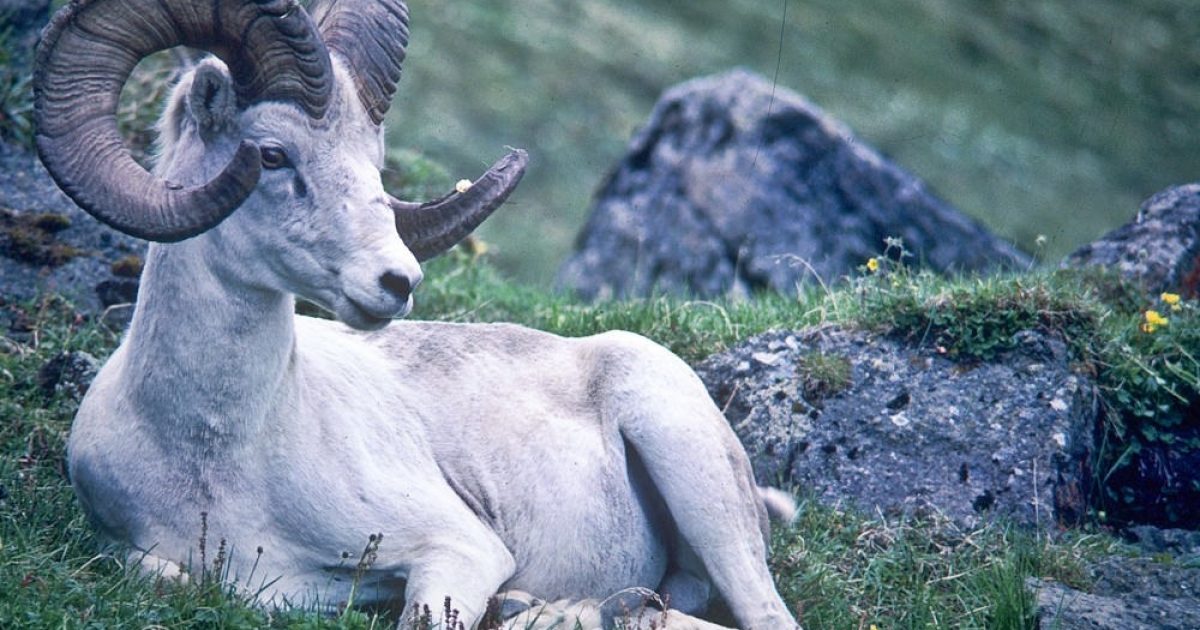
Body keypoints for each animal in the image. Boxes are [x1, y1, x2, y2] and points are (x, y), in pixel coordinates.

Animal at [33, 1, 800, 628]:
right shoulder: (139, 555)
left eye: (373, 162)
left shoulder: (457, 550)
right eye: (273, 154)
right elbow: (161, 576)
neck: (216, 457)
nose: (398, 281)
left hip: (701, 491)